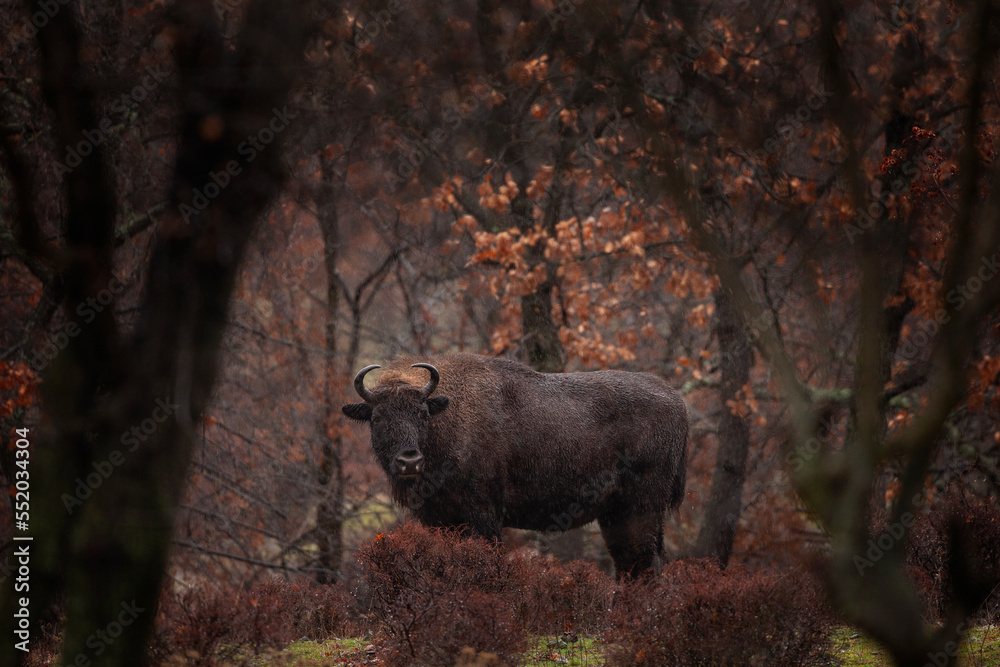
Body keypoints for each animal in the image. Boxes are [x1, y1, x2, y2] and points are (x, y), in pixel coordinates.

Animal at [342, 353, 688, 578]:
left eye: (422, 413)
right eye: (377, 417)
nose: (409, 460)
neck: (448, 420)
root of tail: (677, 401)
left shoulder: (482, 515)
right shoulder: (438, 520)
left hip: (642, 507)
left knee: (647, 560)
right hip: (614, 514)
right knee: (629, 561)